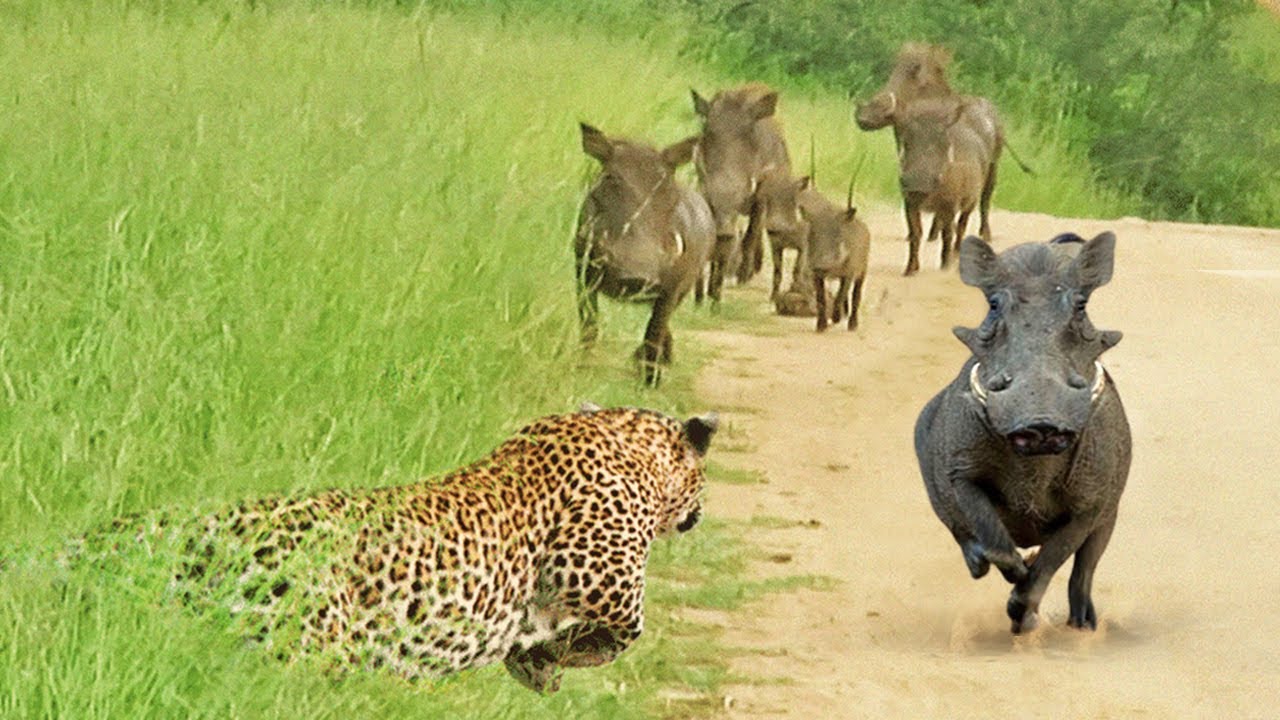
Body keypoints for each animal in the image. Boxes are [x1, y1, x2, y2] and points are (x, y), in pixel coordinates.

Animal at [72, 404, 718, 693]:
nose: (700, 514)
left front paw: (538, 664)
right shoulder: (602, 579)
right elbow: (625, 632)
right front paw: (560, 659)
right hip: (306, 647)